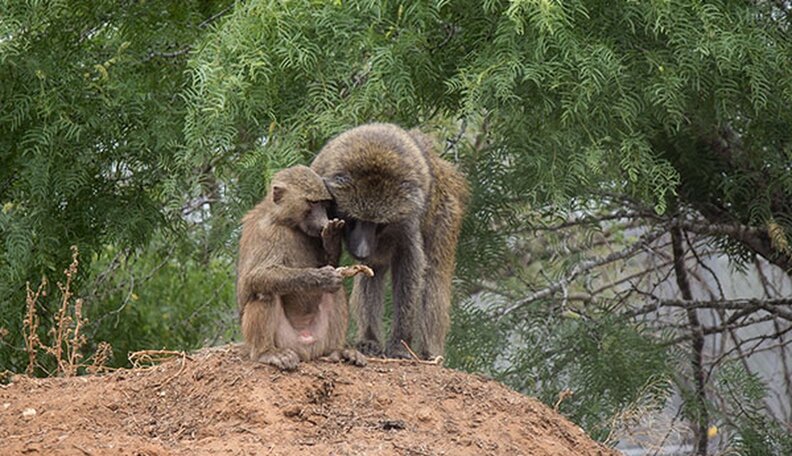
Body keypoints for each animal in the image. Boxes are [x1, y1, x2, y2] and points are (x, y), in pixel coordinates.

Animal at [236, 165, 367, 370]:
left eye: (324, 204)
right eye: (312, 203)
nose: (324, 221)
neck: (286, 222)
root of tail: (305, 348)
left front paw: (332, 239)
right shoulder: (266, 230)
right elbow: (255, 276)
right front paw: (321, 278)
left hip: (319, 340)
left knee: (336, 291)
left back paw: (339, 352)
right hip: (285, 341)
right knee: (265, 291)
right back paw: (267, 353)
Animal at [311, 123, 469, 359]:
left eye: (379, 224)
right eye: (354, 219)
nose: (362, 250)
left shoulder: (407, 219)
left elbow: (410, 265)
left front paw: (400, 344)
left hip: (445, 211)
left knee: (433, 278)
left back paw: (428, 353)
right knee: (372, 272)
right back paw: (370, 340)